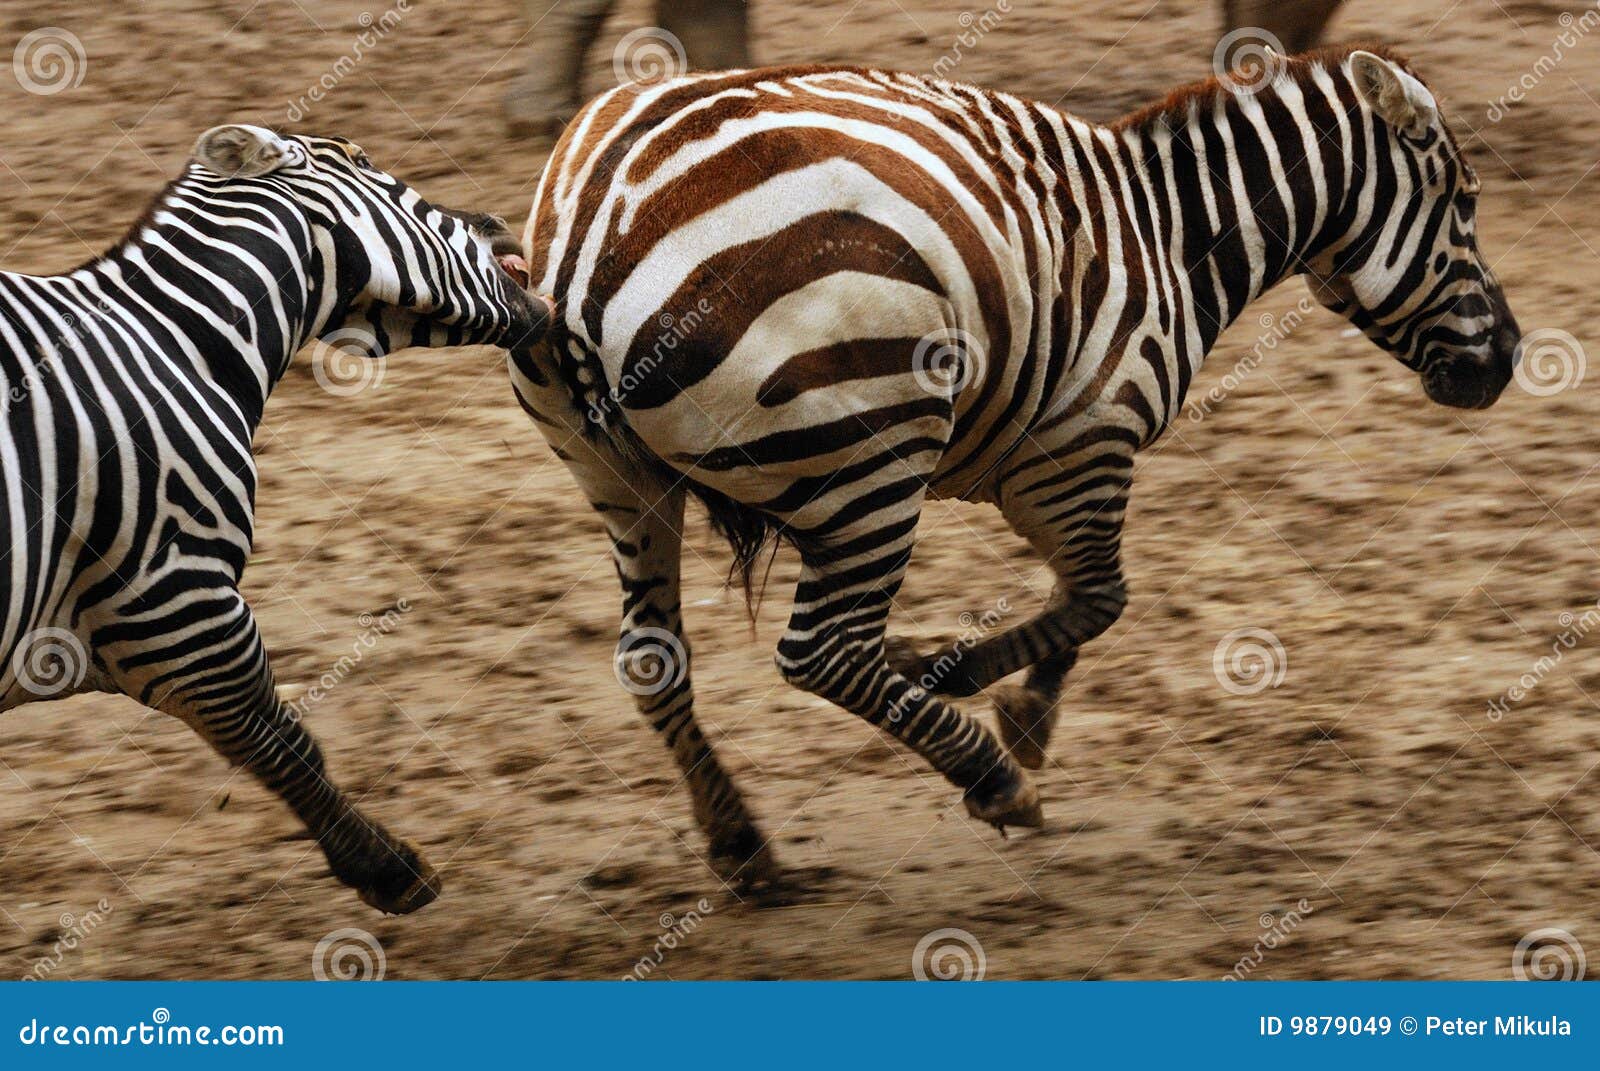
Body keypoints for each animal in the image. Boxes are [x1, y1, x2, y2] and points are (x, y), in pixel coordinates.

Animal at [1, 124, 542, 913]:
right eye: (364, 161)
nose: (500, 222)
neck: (174, 341)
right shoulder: (176, 604)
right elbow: (280, 741)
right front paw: (388, 869)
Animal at [509, 46, 1520, 886]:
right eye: (1467, 200)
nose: (1508, 361)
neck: (1167, 234)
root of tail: (596, 220)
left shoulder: (1038, 459)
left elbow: (1078, 599)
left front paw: (988, 692)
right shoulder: (1083, 443)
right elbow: (1099, 598)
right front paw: (988, 706)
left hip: (621, 483)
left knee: (654, 660)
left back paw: (742, 844)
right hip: (873, 457)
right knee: (827, 651)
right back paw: (991, 780)